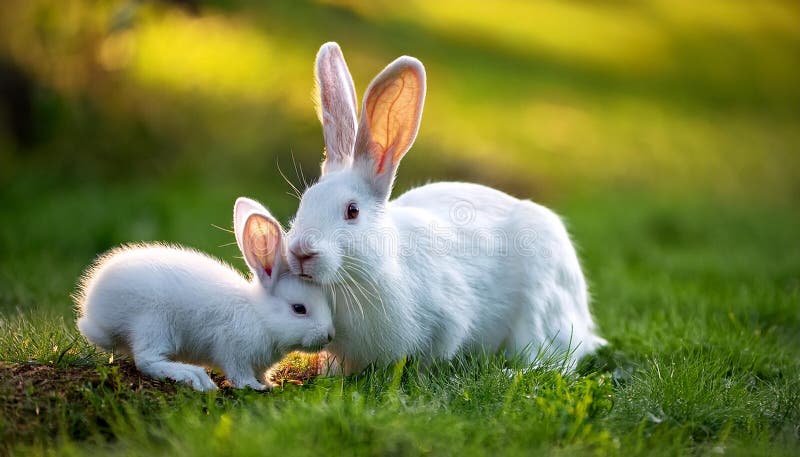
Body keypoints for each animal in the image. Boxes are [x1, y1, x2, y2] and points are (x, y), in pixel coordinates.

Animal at [75, 197, 334, 391]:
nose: (329, 335)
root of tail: (95, 313)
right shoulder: (233, 350)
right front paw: (255, 387)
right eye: (299, 309)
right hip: (153, 323)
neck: (260, 316)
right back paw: (194, 376)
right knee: (147, 360)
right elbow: (239, 375)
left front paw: (269, 384)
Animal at [284, 42, 606, 374]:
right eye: (305, 201)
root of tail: (582, 321)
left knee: (554, 361)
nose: (300, 252)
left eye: (352, 211)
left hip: (539, 307)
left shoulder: (450, 320)